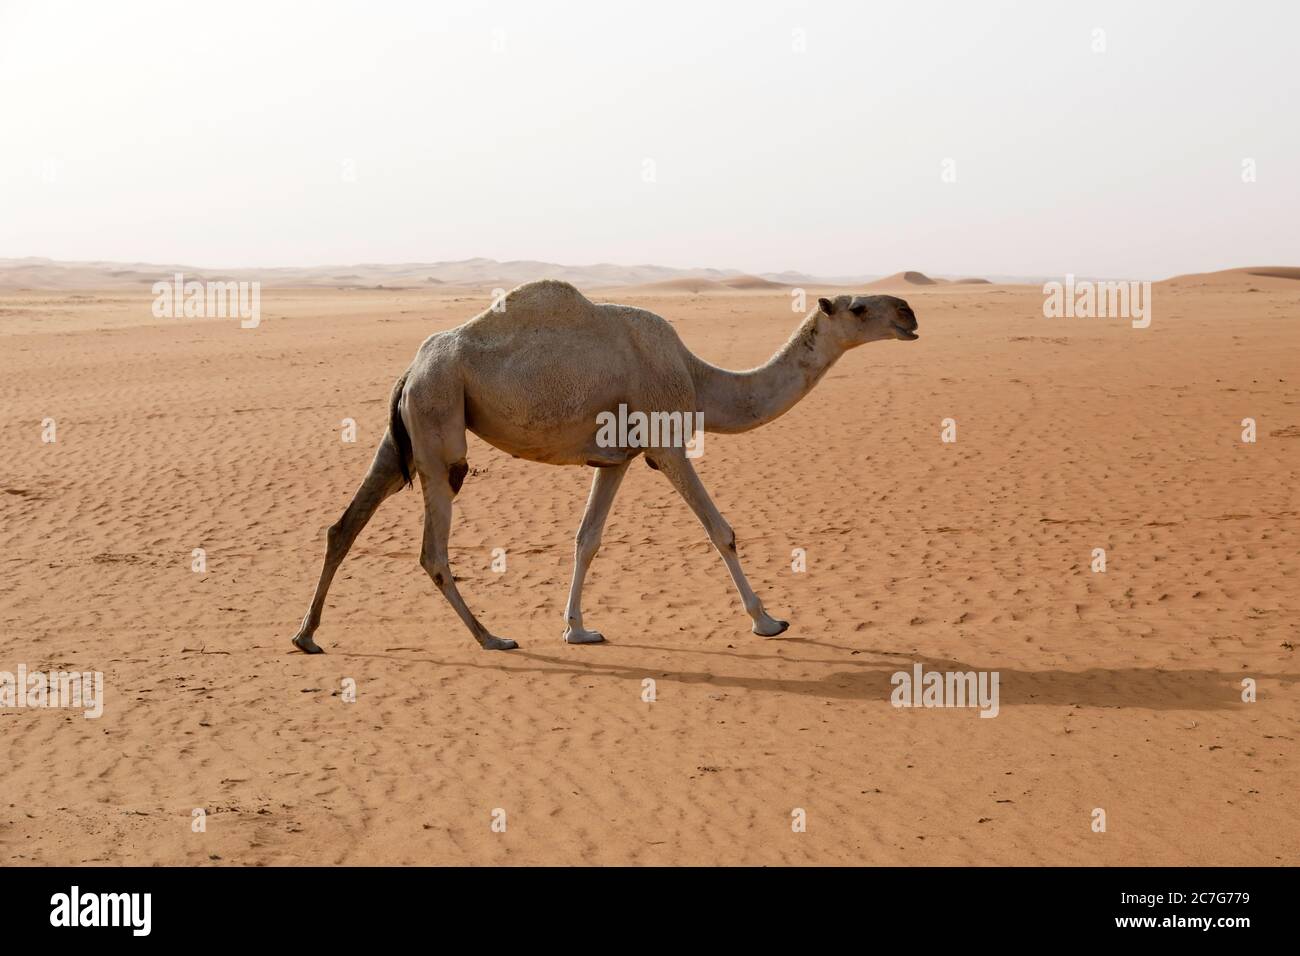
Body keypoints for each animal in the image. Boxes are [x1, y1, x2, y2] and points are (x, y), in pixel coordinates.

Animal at [291, 280, 919, 653]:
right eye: (861, 307)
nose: (909, 311)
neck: (698, 378)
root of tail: (411, 367)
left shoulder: (616, 457)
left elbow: (586, 538)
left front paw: (577, 627)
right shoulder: (666, 442)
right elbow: (721, 530)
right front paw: (768, 621)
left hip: (406, 429)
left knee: (346, 524)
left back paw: (306, 635)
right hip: (440, 418)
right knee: (432, 548)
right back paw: (492, 637)